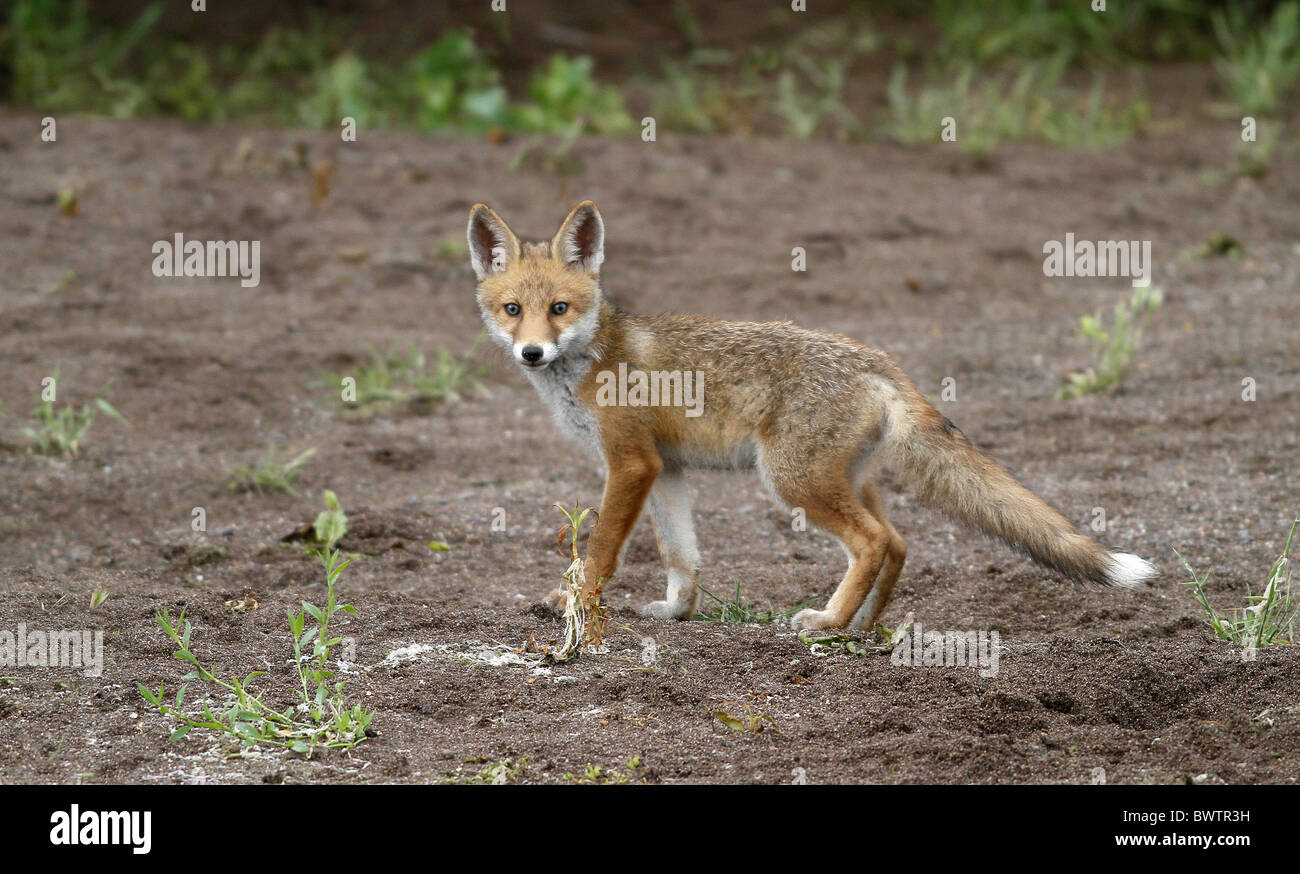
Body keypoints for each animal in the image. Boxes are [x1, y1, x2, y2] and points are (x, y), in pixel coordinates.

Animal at [466, 200, 1157, 631]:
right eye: (511, 310)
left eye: (559, 308)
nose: (532, 352)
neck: (591, 359)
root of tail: (880, 361)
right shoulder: (665, 469)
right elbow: (681, 556)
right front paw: (676, 614)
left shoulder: (630, 463)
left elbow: (603, 551)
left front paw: (574, 605)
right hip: (844, 480)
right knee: (897, 542)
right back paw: (863, 625)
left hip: (792, 480)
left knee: (873, 542)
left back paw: (828, 621)